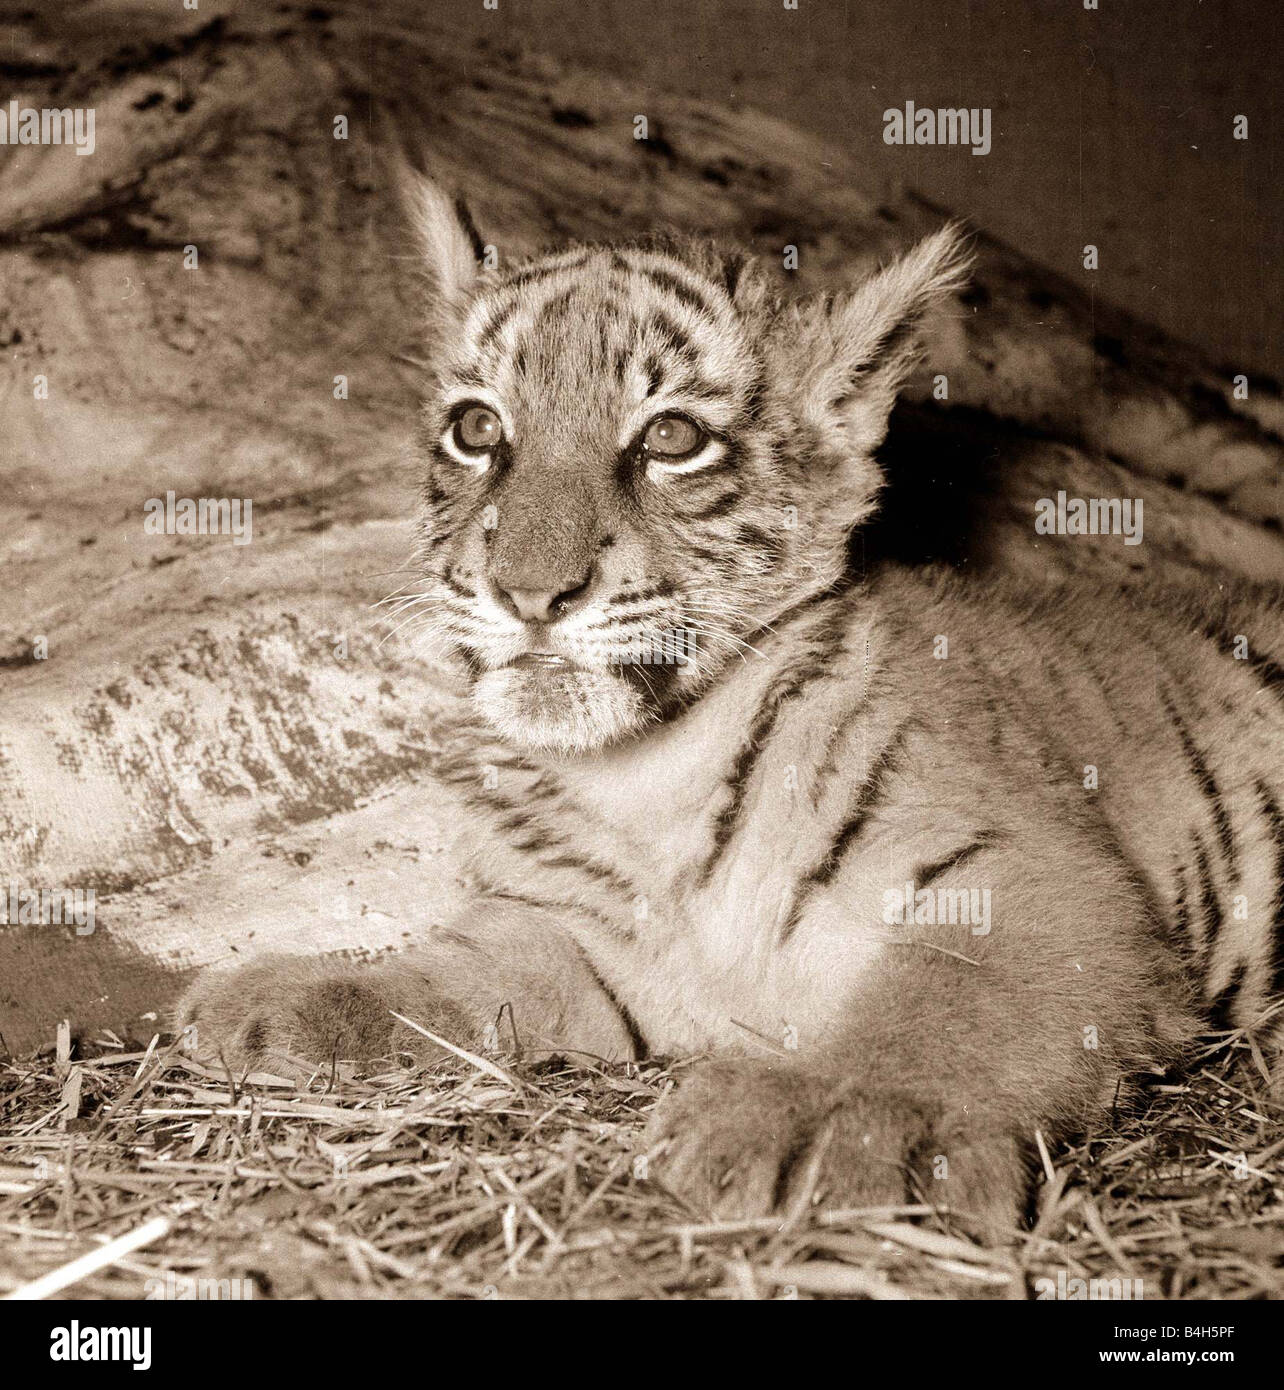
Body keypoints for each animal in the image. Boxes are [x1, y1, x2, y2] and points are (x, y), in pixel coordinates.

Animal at [177, 175, 1284, 1237]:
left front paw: (826, 1119)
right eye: (477, 428)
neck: (646, 778)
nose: (529, 591)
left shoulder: (1044, 883)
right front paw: (288, 996)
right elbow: (458, 971)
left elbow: (947, 1004)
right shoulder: (587, 942)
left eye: (673, 438)